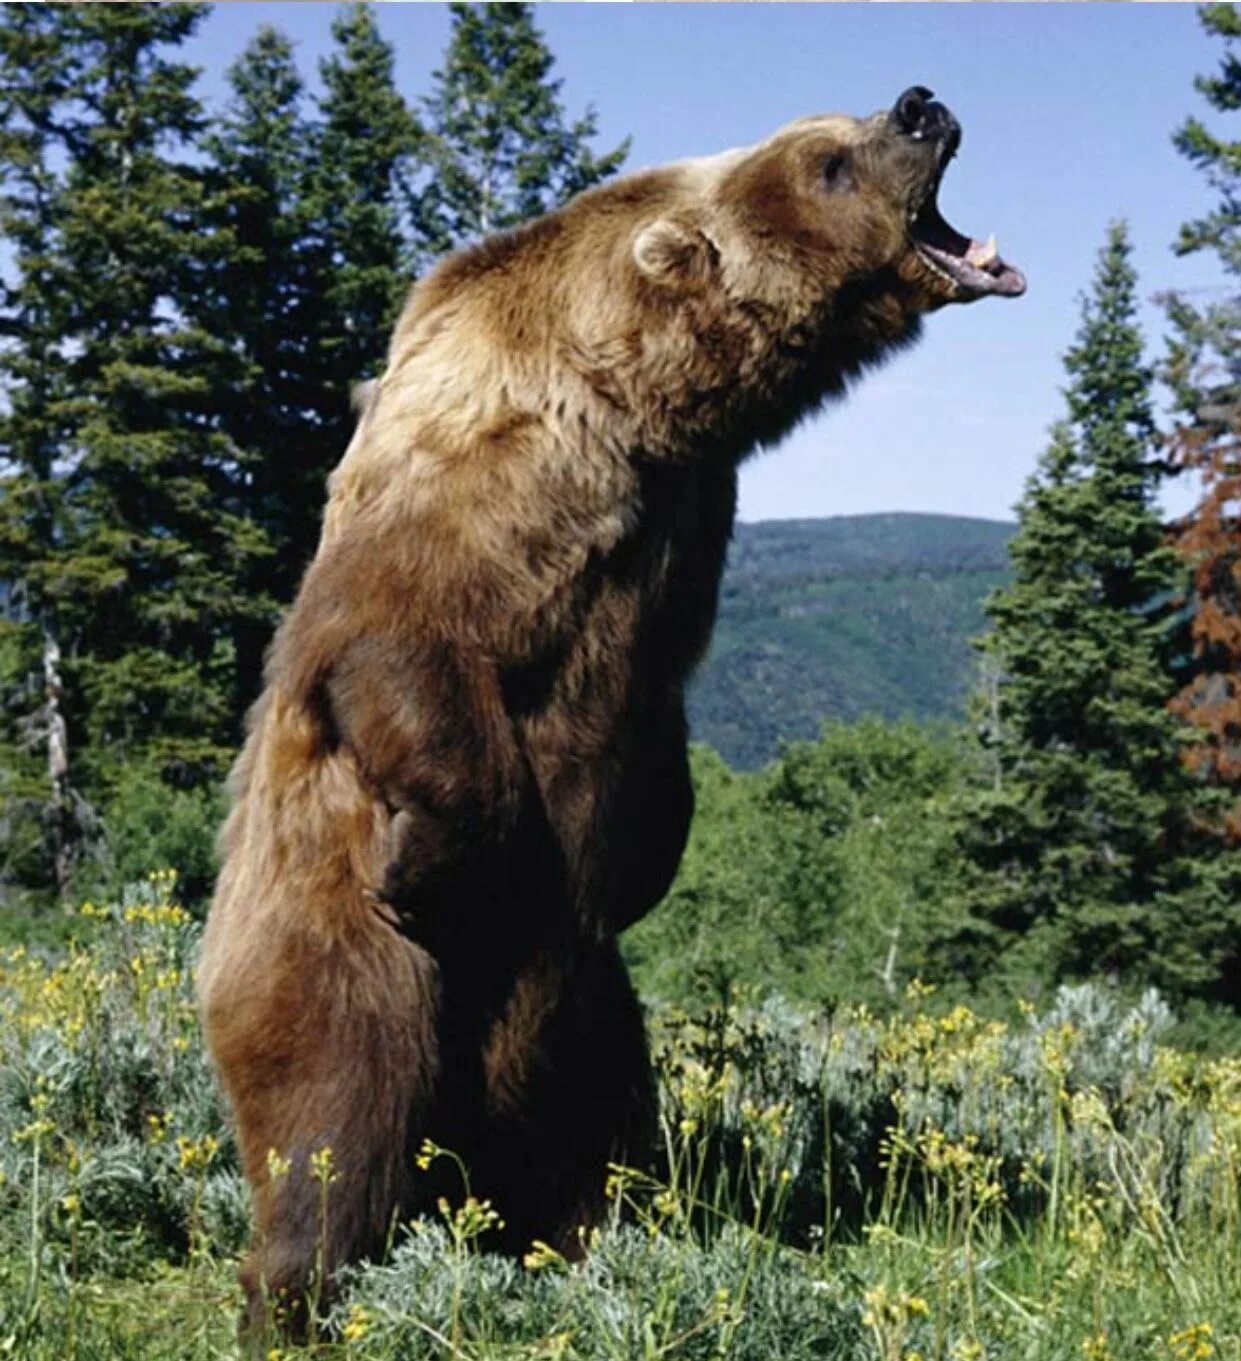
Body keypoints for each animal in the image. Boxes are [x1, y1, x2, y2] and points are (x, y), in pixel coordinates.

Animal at [197, 85, 1023, 1339]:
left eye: (844, 128)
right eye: (828, 160)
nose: (921, 105)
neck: (637, 397)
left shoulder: (681, 526)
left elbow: (652, 724)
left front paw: (647, 854)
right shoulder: (487, 469)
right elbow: (398, 637)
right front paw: (431, 852)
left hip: (589, 1004)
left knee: (599, 1126)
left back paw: (591, 1245)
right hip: (325, 937)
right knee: (337, 1111)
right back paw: (300, 1294)